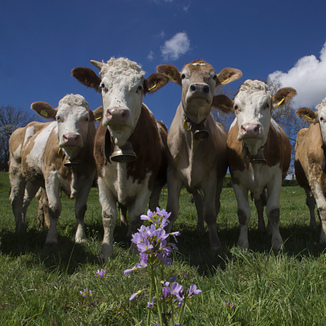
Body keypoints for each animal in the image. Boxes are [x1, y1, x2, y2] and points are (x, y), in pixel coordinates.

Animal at [8, 94, 100, 244]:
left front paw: (80, 237)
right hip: (15, 171)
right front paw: (51, 238)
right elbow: (54, 207)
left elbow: (80, 209)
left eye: (86, 118)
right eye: (58, 117)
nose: (71, 137)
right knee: (16, 199)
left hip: (33, 179)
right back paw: (19, 230)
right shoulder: (51, 176)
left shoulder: (87, 177)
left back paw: (23, 225)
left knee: (25, 201)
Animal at [72, 56, 171, 260]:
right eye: (103, 85)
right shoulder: (101, 179)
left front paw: (137, 249)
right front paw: (106, 251)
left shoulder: (147, 182)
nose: (117, 113)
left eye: (139, 87)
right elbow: (108, 216)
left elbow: (137, 216)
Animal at [155, 59, 242, 250]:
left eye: (214, 76)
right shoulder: (173, 174)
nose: (200, 88)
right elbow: (172, 210)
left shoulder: (210, 177)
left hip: (216, 181)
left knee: (213, 205)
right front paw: (165, 241)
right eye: (183, 75)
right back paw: (200, 229)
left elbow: (210, 212)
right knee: (199, 205)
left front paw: (215, 243)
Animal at [214, 79, 296, 250]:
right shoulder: (237, 180)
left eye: (267, 104)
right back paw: (261, 227)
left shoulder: (276, 178)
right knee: (259, 204)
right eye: (236, 106)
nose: (250, 129)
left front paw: (277, 243)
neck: (254, 153)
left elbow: (273, 211)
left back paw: (269, 229)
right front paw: (243, 245)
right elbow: (243, 213)